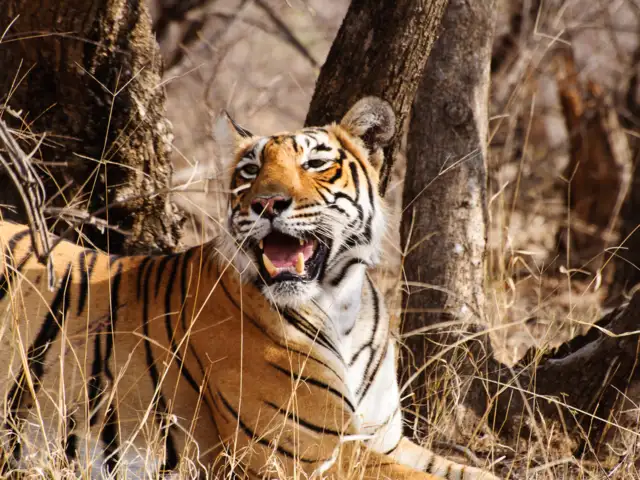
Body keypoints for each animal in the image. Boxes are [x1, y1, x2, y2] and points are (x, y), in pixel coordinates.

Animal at [0, 97, 499, 479]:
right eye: (249, 170)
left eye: (315, 163)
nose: (267, 203)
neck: (341, 305)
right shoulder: (314, 450)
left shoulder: (386, 439)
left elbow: (477, 472)